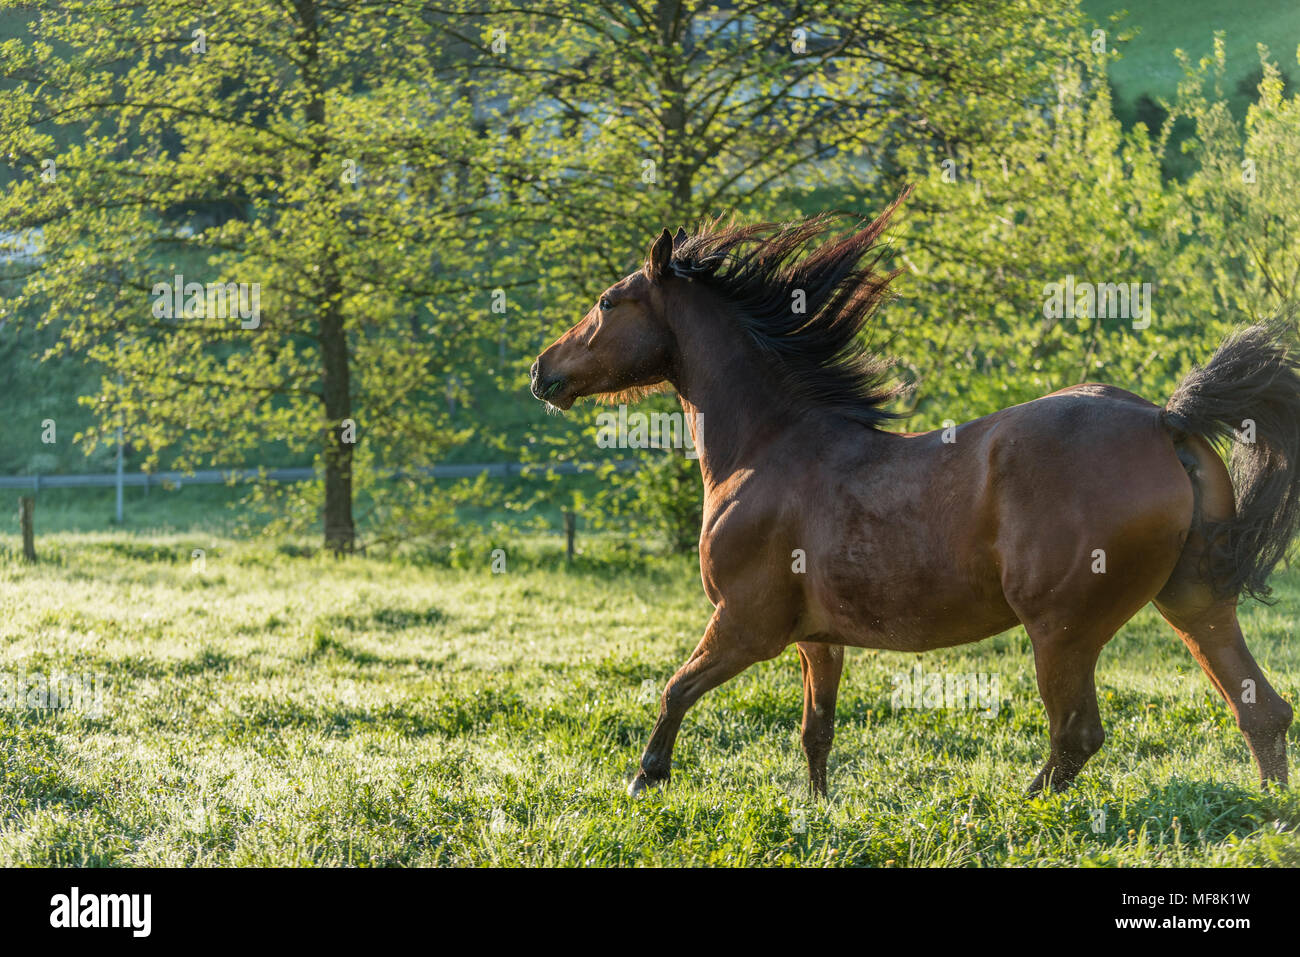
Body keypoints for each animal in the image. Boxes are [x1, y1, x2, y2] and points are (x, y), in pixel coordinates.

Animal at [529, 189, 1300, 798]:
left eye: (607, 301)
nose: (542, 372)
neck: (766, 448)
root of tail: (1164, 421)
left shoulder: (746, 624)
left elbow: (675, 687)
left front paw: (645, 778)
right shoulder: (815, 639)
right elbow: (815, 731)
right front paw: (819, 810)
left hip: (1063, 628)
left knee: (1077, 735)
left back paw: (1015, 808)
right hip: (1193, 601)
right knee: (1259, 708)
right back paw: (1267, 816)